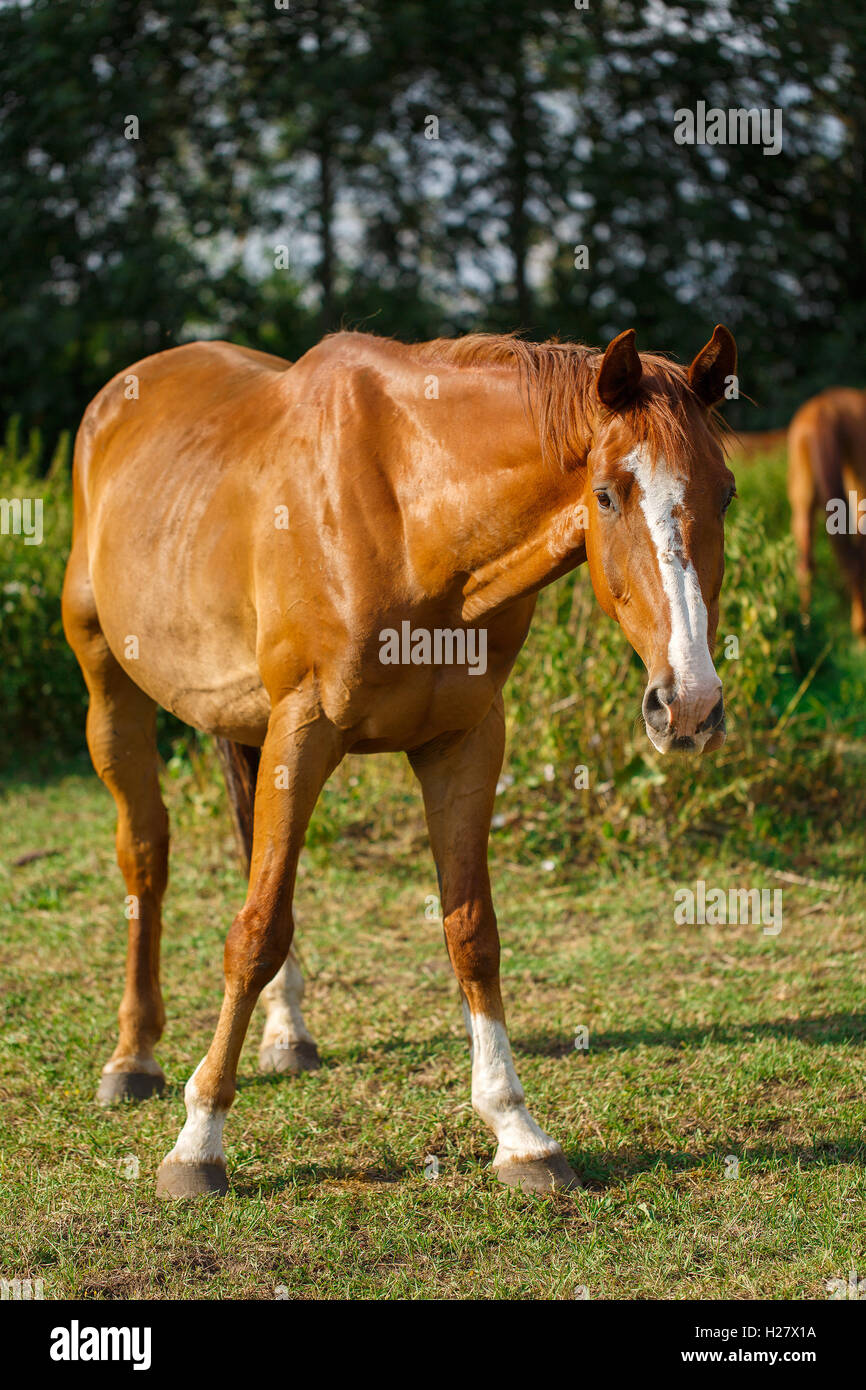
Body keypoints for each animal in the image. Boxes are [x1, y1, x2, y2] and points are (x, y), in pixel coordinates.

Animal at [61, 323, 737, 1197]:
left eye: (724, 494)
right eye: (609, 495)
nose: (687, 703)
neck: (410, 517)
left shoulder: (465, 742)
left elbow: (471, 931)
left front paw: (518, 1131)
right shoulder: (305, 730)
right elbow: (254, 932)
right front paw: (198, 1141)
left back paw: (287, 1032)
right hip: (110, 686)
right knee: (147, 855)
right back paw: (133, 1057)